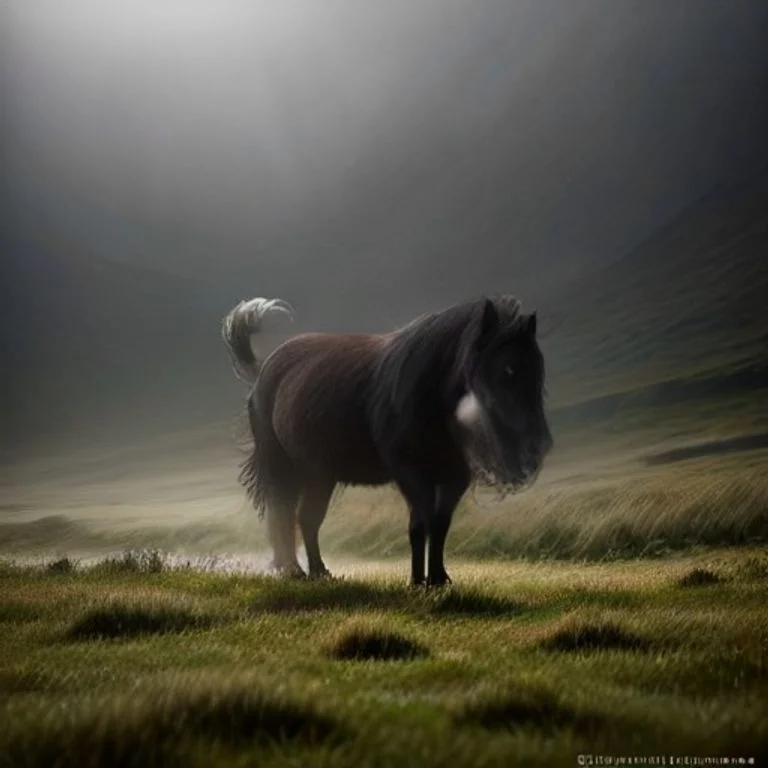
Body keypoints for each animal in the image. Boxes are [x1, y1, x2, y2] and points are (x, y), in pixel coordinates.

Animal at [221, 295, 552, 586]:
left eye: (537, 370)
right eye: (507, 370)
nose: (537, 446)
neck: (428, 392)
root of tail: (263, 370)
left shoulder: (454, 477)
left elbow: (440, 524)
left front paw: (438, 579)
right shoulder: (410, 473)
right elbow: (419, 524)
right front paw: (418, 582)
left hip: (320, 475)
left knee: (304, 518)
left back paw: (316, 572)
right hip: (289, 470)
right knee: (288, 515)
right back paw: (302, 571)